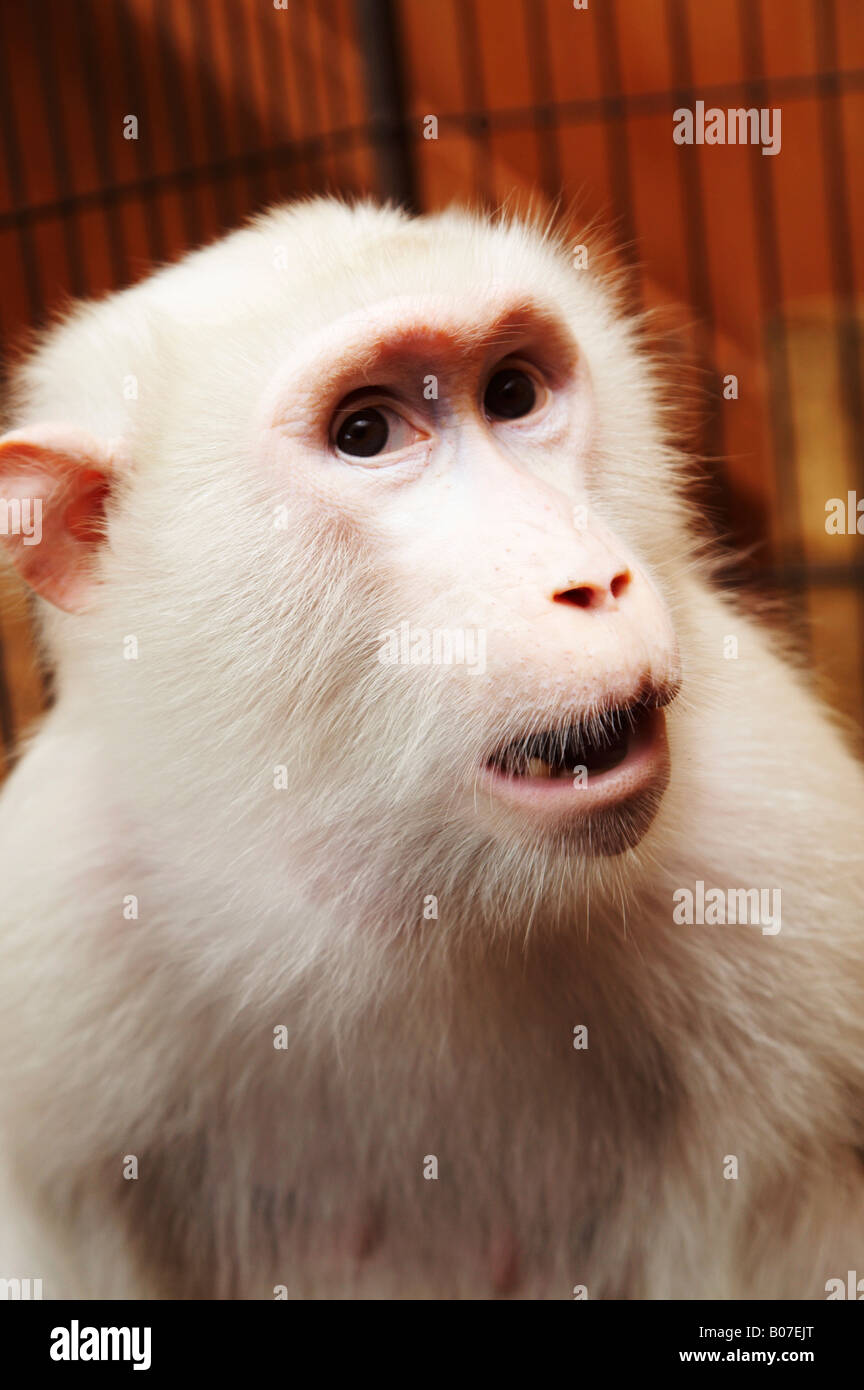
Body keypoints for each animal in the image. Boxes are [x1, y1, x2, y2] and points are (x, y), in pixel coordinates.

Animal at [0, 197, 862, 1301]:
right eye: (365, 434)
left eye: (512, 393)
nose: (592, 581)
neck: (414, 902)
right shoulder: (55, 967)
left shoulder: (782, 876)